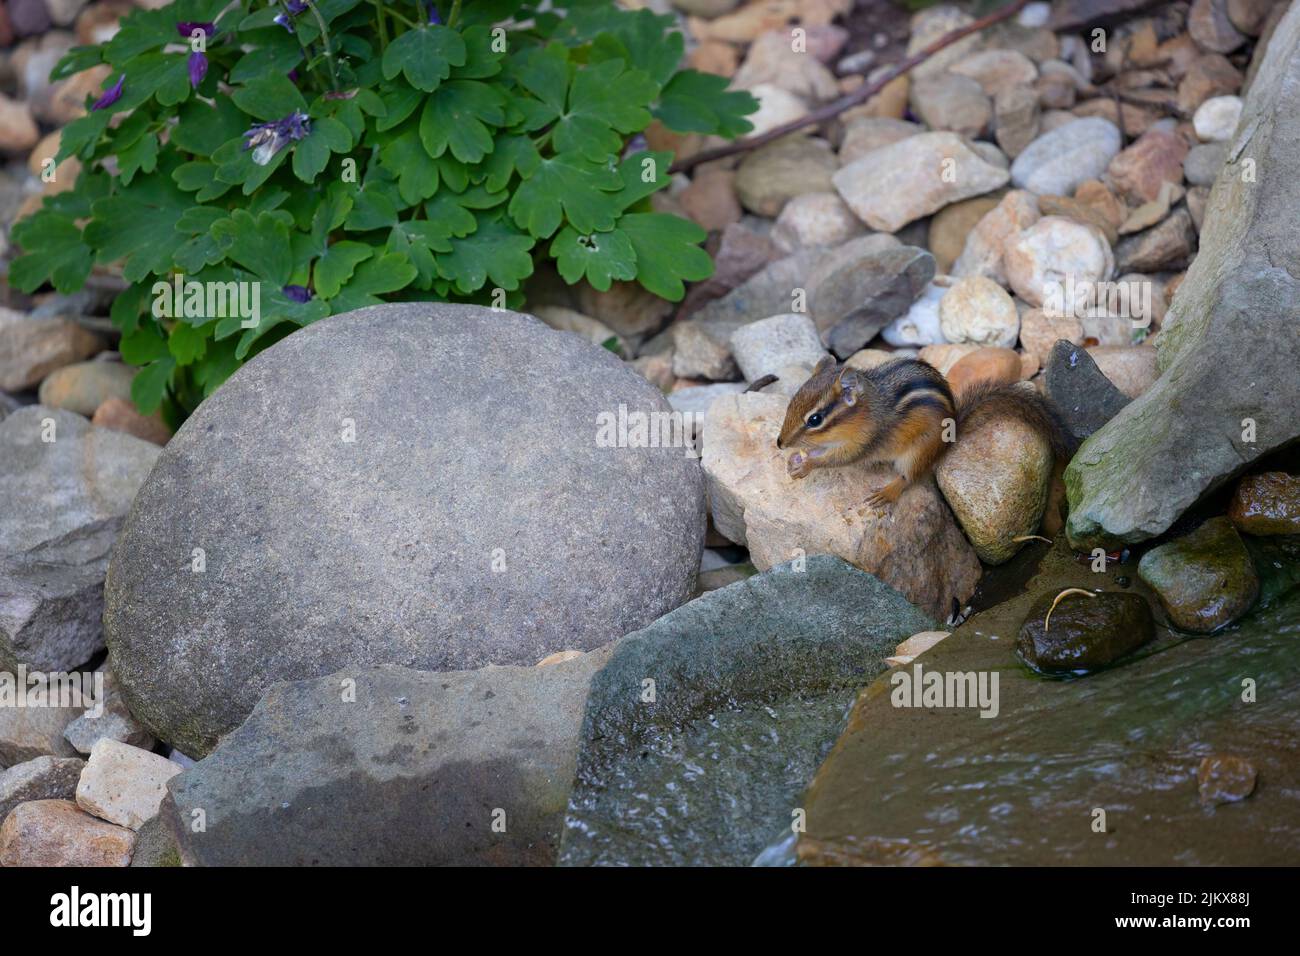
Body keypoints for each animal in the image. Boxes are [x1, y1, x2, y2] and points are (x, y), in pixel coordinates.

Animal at [776, 355, 1076, 508]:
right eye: (791, 402)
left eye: (815, 419)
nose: (779, 443)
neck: (866, 411)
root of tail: (952, 434)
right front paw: (795, 461)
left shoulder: (865, 441)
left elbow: (840, 458)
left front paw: (808, 464)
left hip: (918, 451)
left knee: (910, 476)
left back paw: (888, 492)